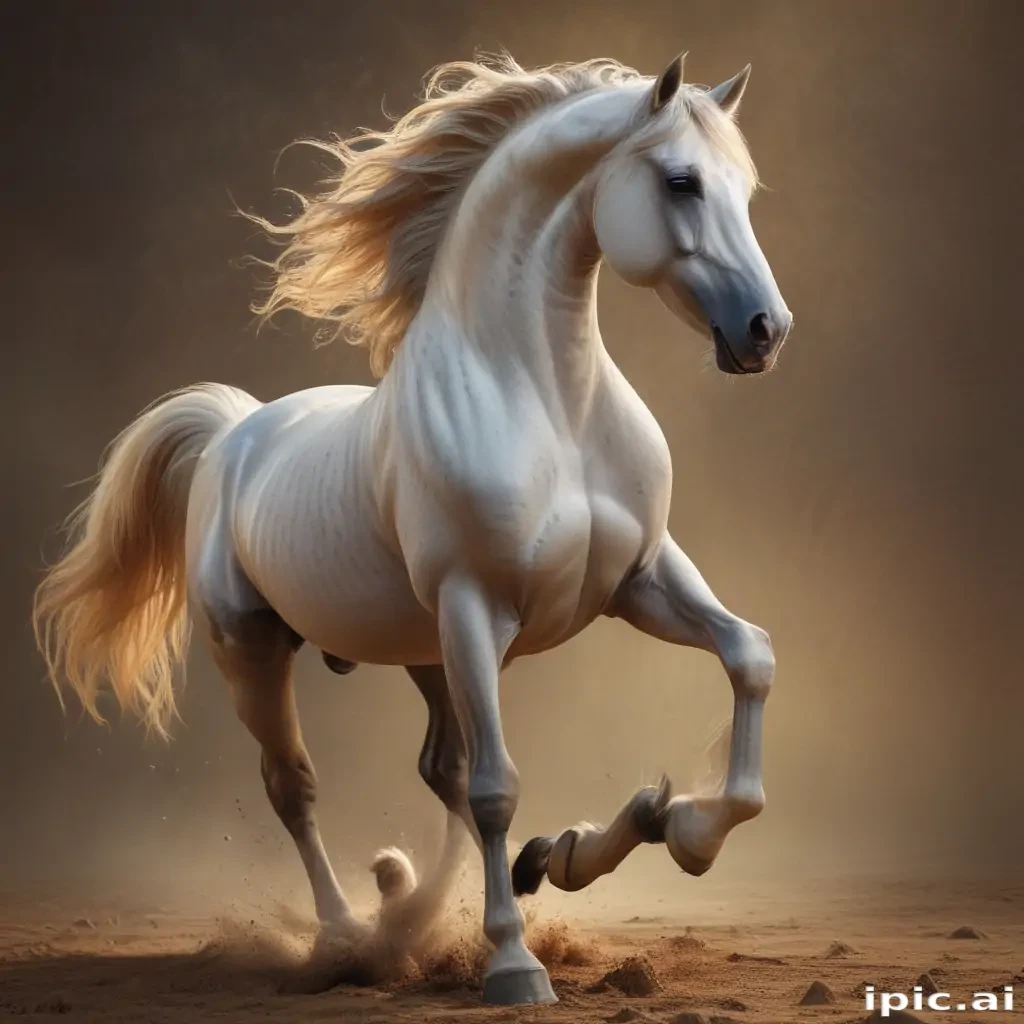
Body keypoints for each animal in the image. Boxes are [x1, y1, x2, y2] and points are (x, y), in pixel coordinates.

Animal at [33, 52, 791, 1005]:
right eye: (681, 181)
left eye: (747, 189)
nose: (766, 331)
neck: (550, 403)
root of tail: (234, 431)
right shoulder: (474, 605)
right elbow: (498, 787)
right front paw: (514, 965)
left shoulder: (642, 580)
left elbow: (749, 656)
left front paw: (669, 831)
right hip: (259, 651)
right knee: (299, 789)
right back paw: (350, 936)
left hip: (429, 653)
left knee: (441, 771)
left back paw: (516, 872)